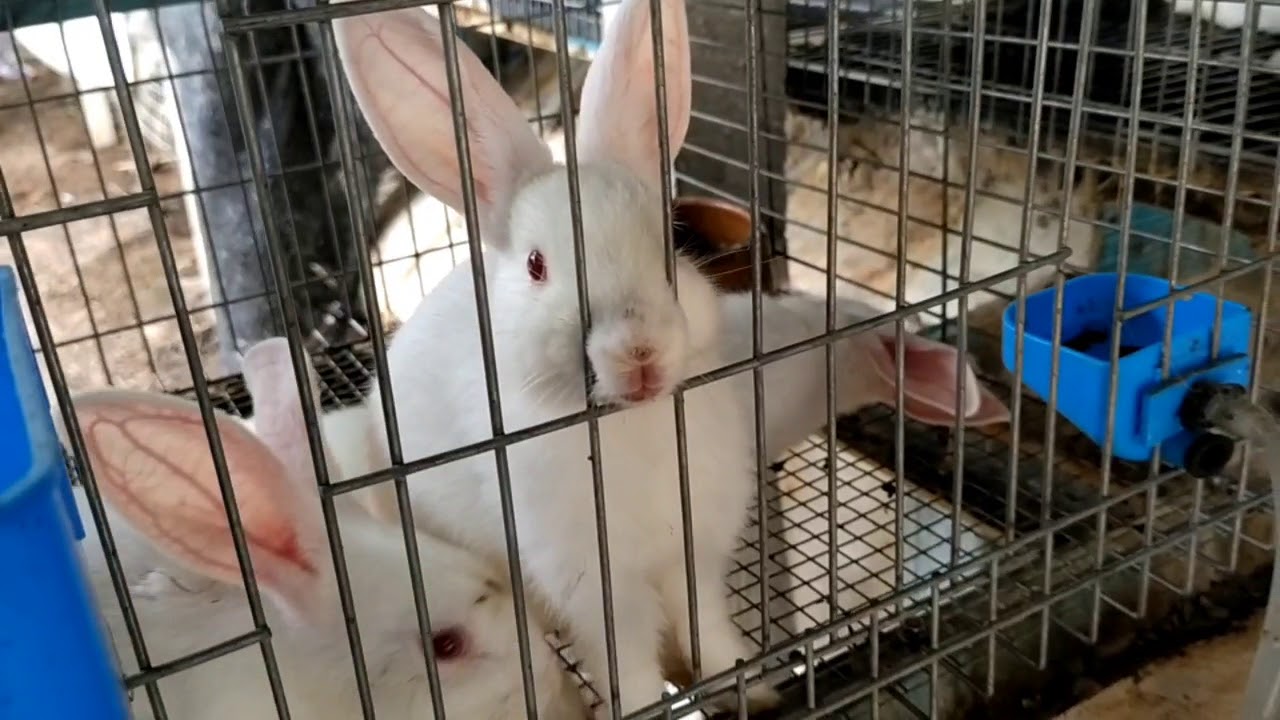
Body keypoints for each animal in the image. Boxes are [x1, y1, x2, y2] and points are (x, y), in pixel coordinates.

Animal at [332, 0, 784, 713]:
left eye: (670, 245)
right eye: (538, 266)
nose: (638, 352)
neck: (629, 424)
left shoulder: (694, 556)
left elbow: (707, 629)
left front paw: (755, 686)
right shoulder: (597, 590)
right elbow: (627, 666)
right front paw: (650, 706)